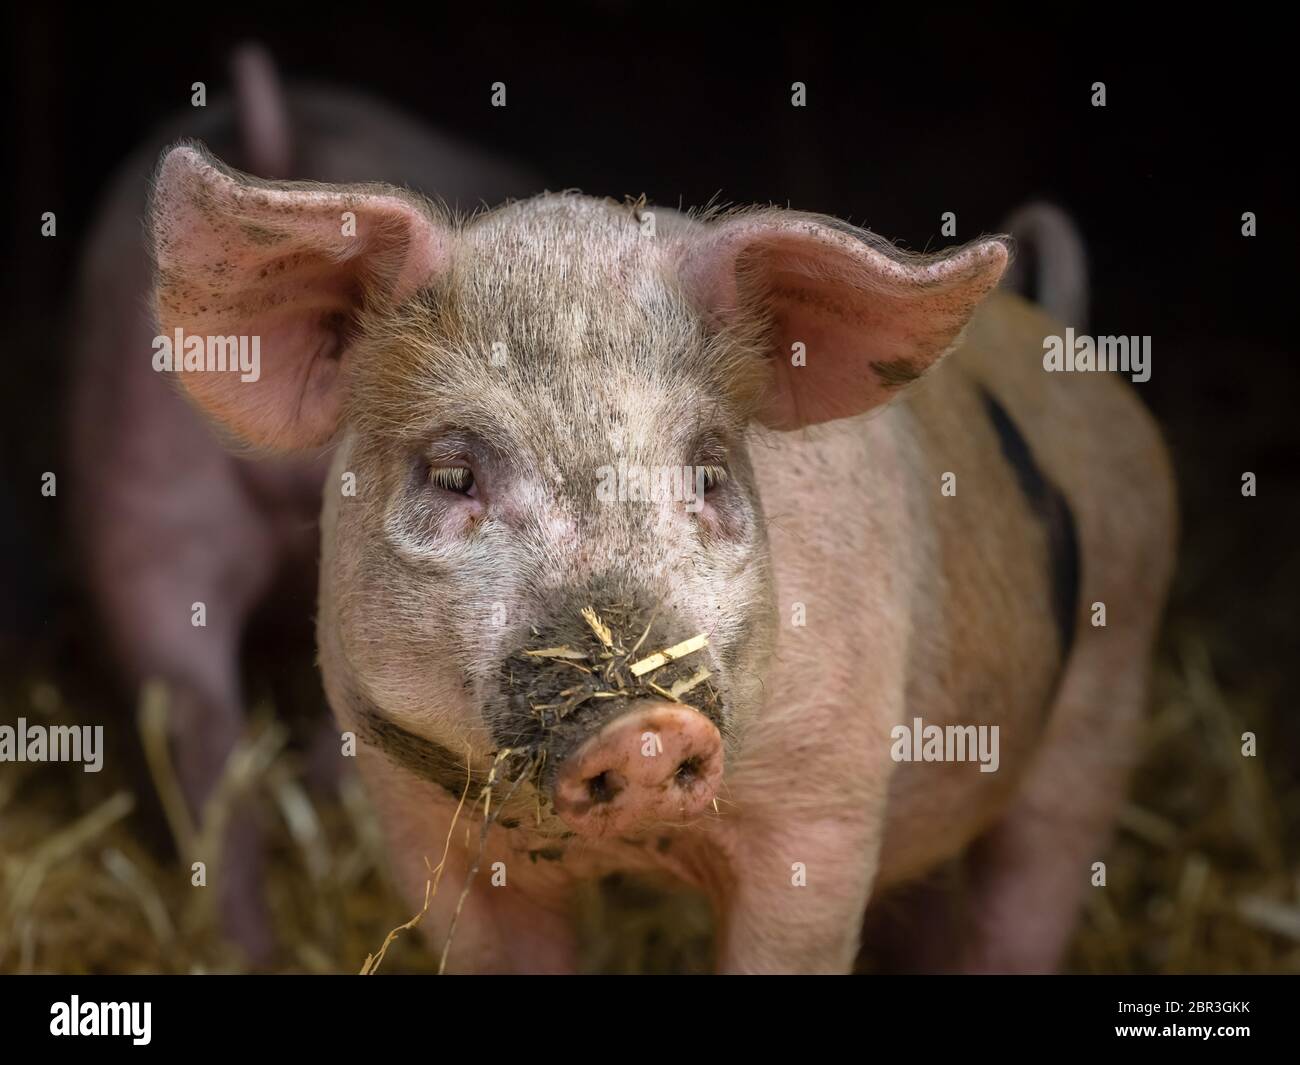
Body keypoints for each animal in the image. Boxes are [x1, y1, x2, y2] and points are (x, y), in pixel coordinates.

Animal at [145, 143, 1176, 974]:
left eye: (710, 471)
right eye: (452, 472)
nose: (643, 727)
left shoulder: (827, 808)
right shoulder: (416, 816)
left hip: (1107, 687)